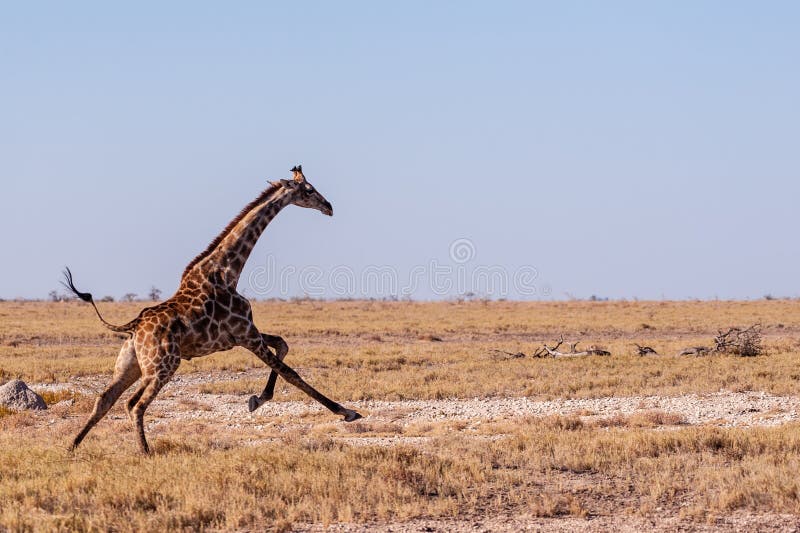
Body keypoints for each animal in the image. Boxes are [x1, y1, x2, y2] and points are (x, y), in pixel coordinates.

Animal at [64, 165, 362, 454]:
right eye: (309, 190)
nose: (329, 206)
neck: (227, 273)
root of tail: (133, 327)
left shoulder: (242, 335)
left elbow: (283, 344)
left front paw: (257, 400)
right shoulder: (247, 334)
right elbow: (292, 373)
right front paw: (347, 412)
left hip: (131, 364)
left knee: (106, 399)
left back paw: (72, 446)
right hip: (162, 365)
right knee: (134, 404)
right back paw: (145, 452)